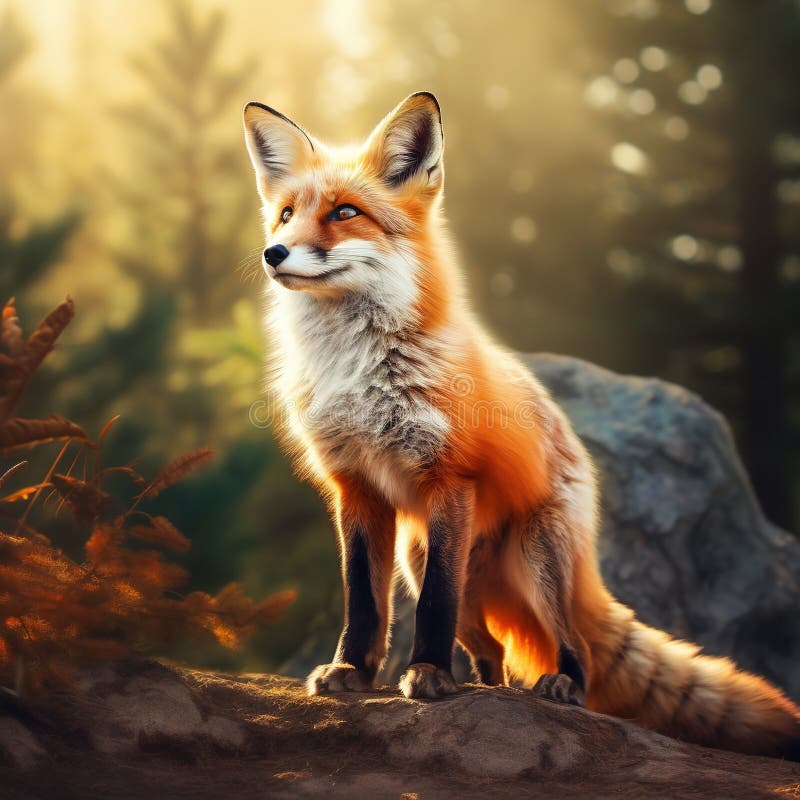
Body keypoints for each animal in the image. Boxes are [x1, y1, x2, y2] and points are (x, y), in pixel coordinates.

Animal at [242, 91, 800, 760]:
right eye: (285, 216)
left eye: (344, 213)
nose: (274, 253)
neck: (359, 371)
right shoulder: (355, 489)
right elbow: (364, 603)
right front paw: (355, 670)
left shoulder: (449, 478)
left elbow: (432, 608)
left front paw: (427, 674)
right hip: (419, 557)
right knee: (496, 657)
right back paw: (488, 688)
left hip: (534, 561)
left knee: (572, 645)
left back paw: (559, 686)